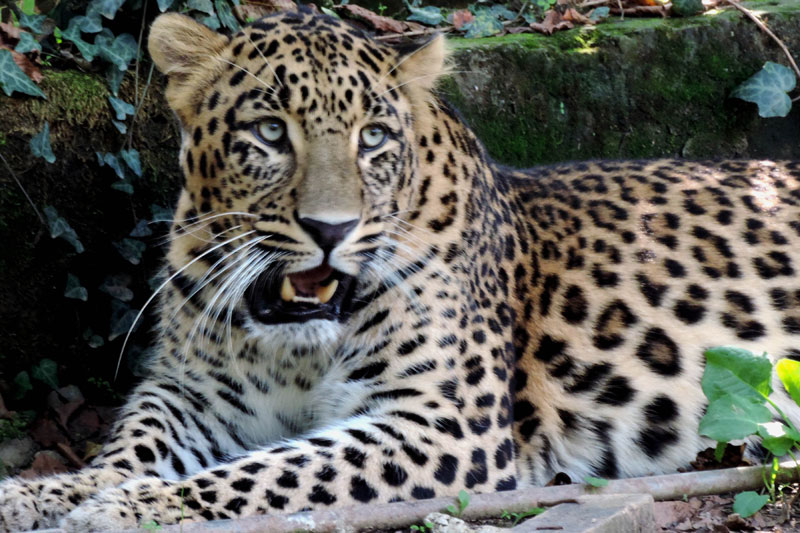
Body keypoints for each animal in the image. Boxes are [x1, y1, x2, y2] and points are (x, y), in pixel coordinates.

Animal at [2, 7, 800, 532]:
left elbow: (275, 471)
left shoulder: (441, 423)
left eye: (375, 137)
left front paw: (135, 507)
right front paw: (49, 493)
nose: (330, 230)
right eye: (270, 131)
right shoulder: (193, 393)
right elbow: (130, 445)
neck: (294, 348)